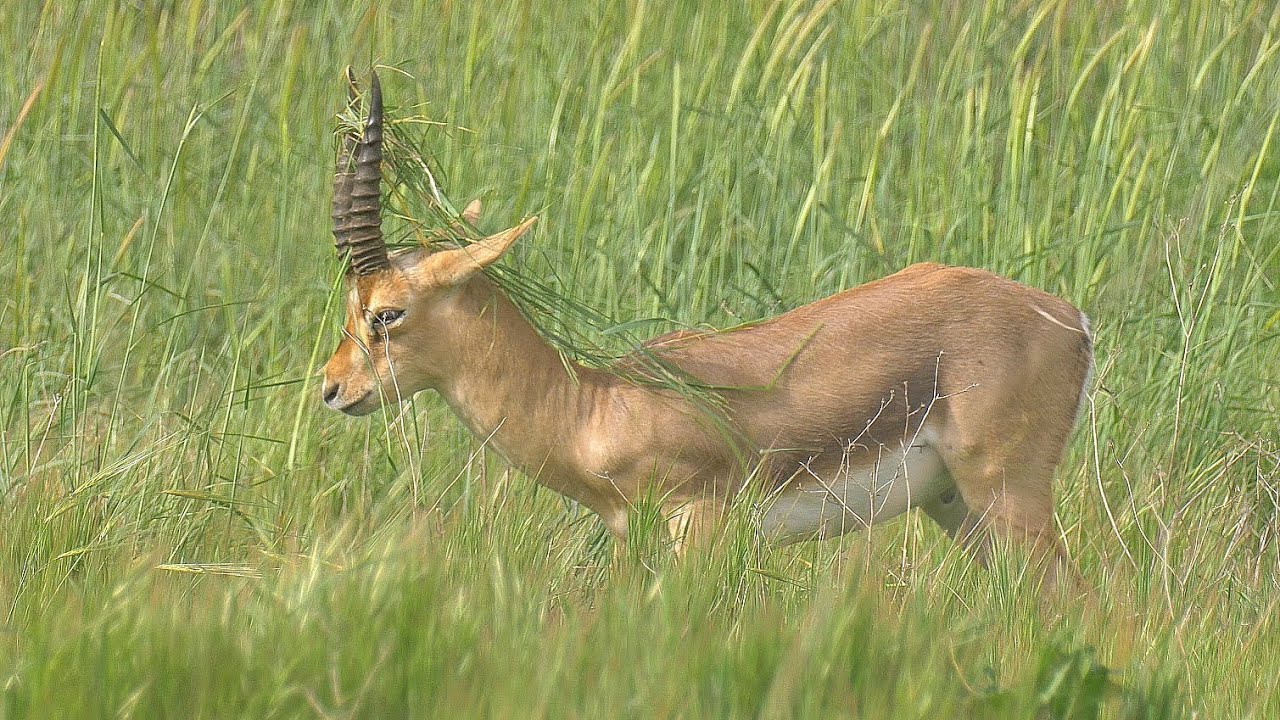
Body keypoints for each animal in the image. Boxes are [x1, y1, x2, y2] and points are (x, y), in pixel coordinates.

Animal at [322, 73, 1094, 589]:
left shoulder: (699, 525)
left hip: (1008, 493)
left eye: (387, 311)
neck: (594, 408)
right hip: (956, 506)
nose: (332, 389)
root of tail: (1070, 318)